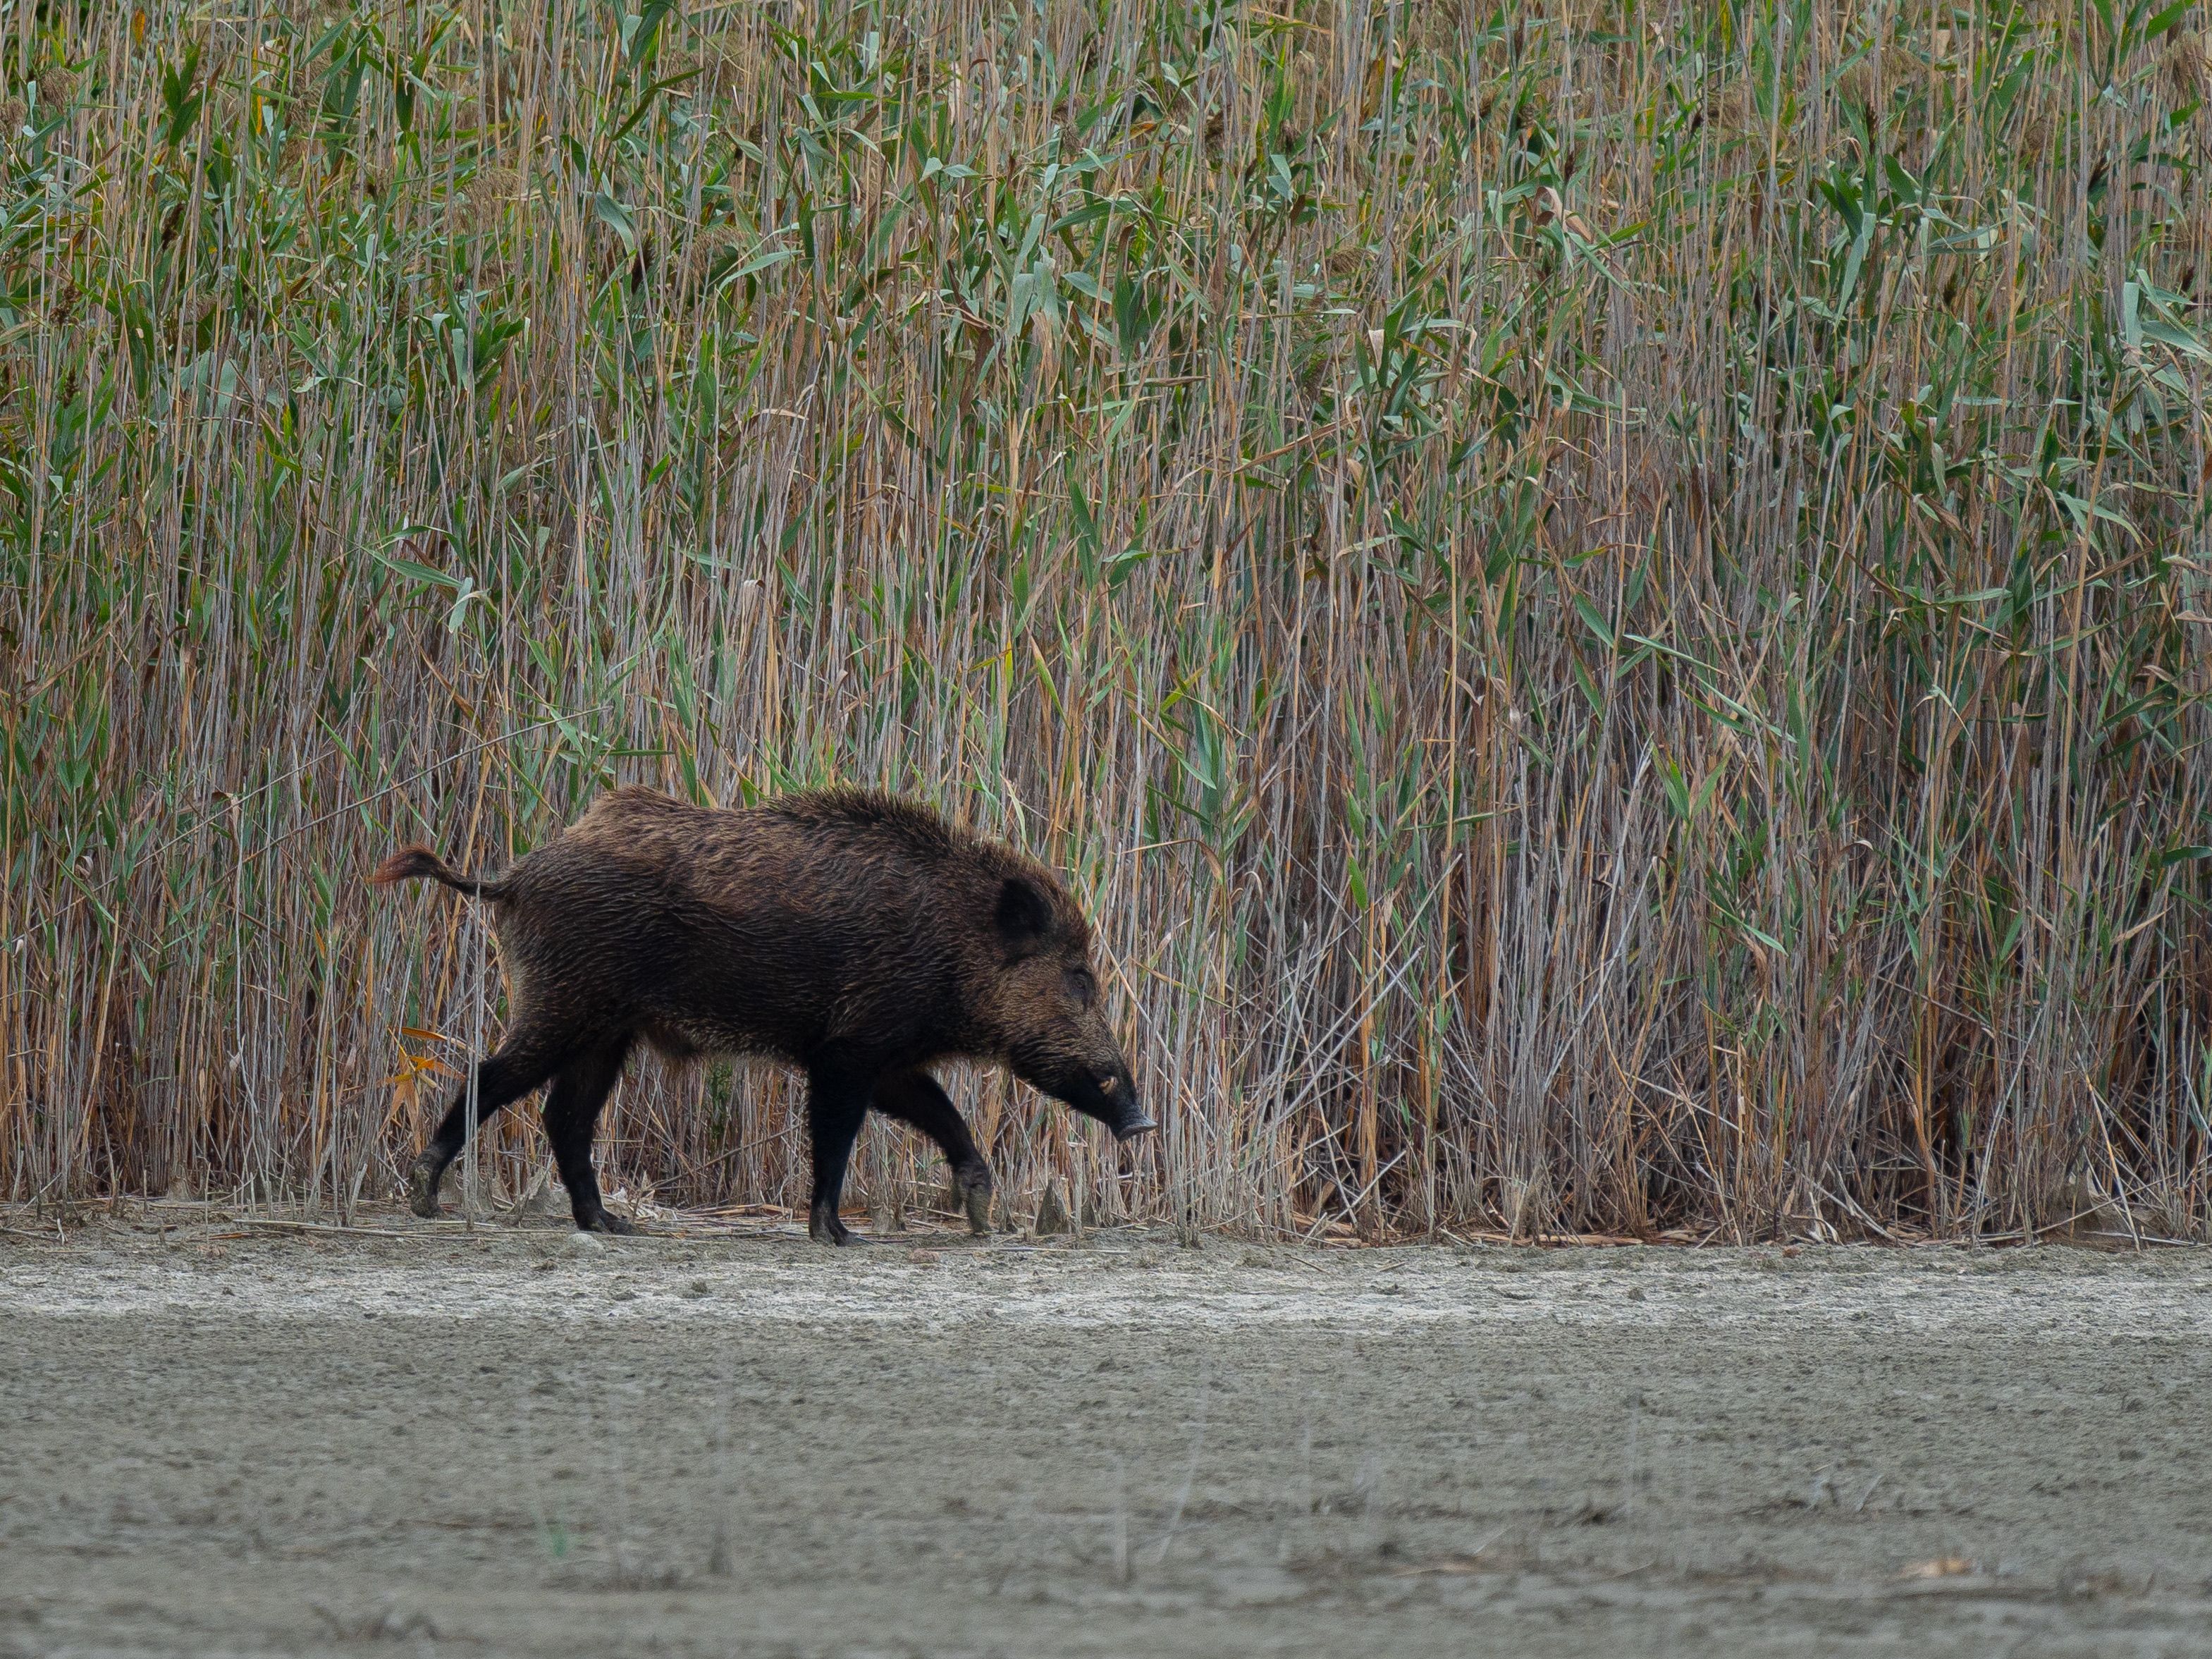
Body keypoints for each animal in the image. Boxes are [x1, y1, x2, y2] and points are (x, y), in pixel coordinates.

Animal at [370, 785, 1151, 1242]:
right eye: (1079, 976)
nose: (1142, 1120)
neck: (955, 943)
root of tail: (514, 875)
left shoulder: (888, 1057)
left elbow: (942, 1113)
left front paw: (985, 1216)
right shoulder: (846, 1048)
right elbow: (836, 1135)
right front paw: (838, 1235)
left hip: (607, 1029)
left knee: (564, 1115)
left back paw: (612, 1224)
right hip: (567, 1004)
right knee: (493, 1076)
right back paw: (426, 1197)